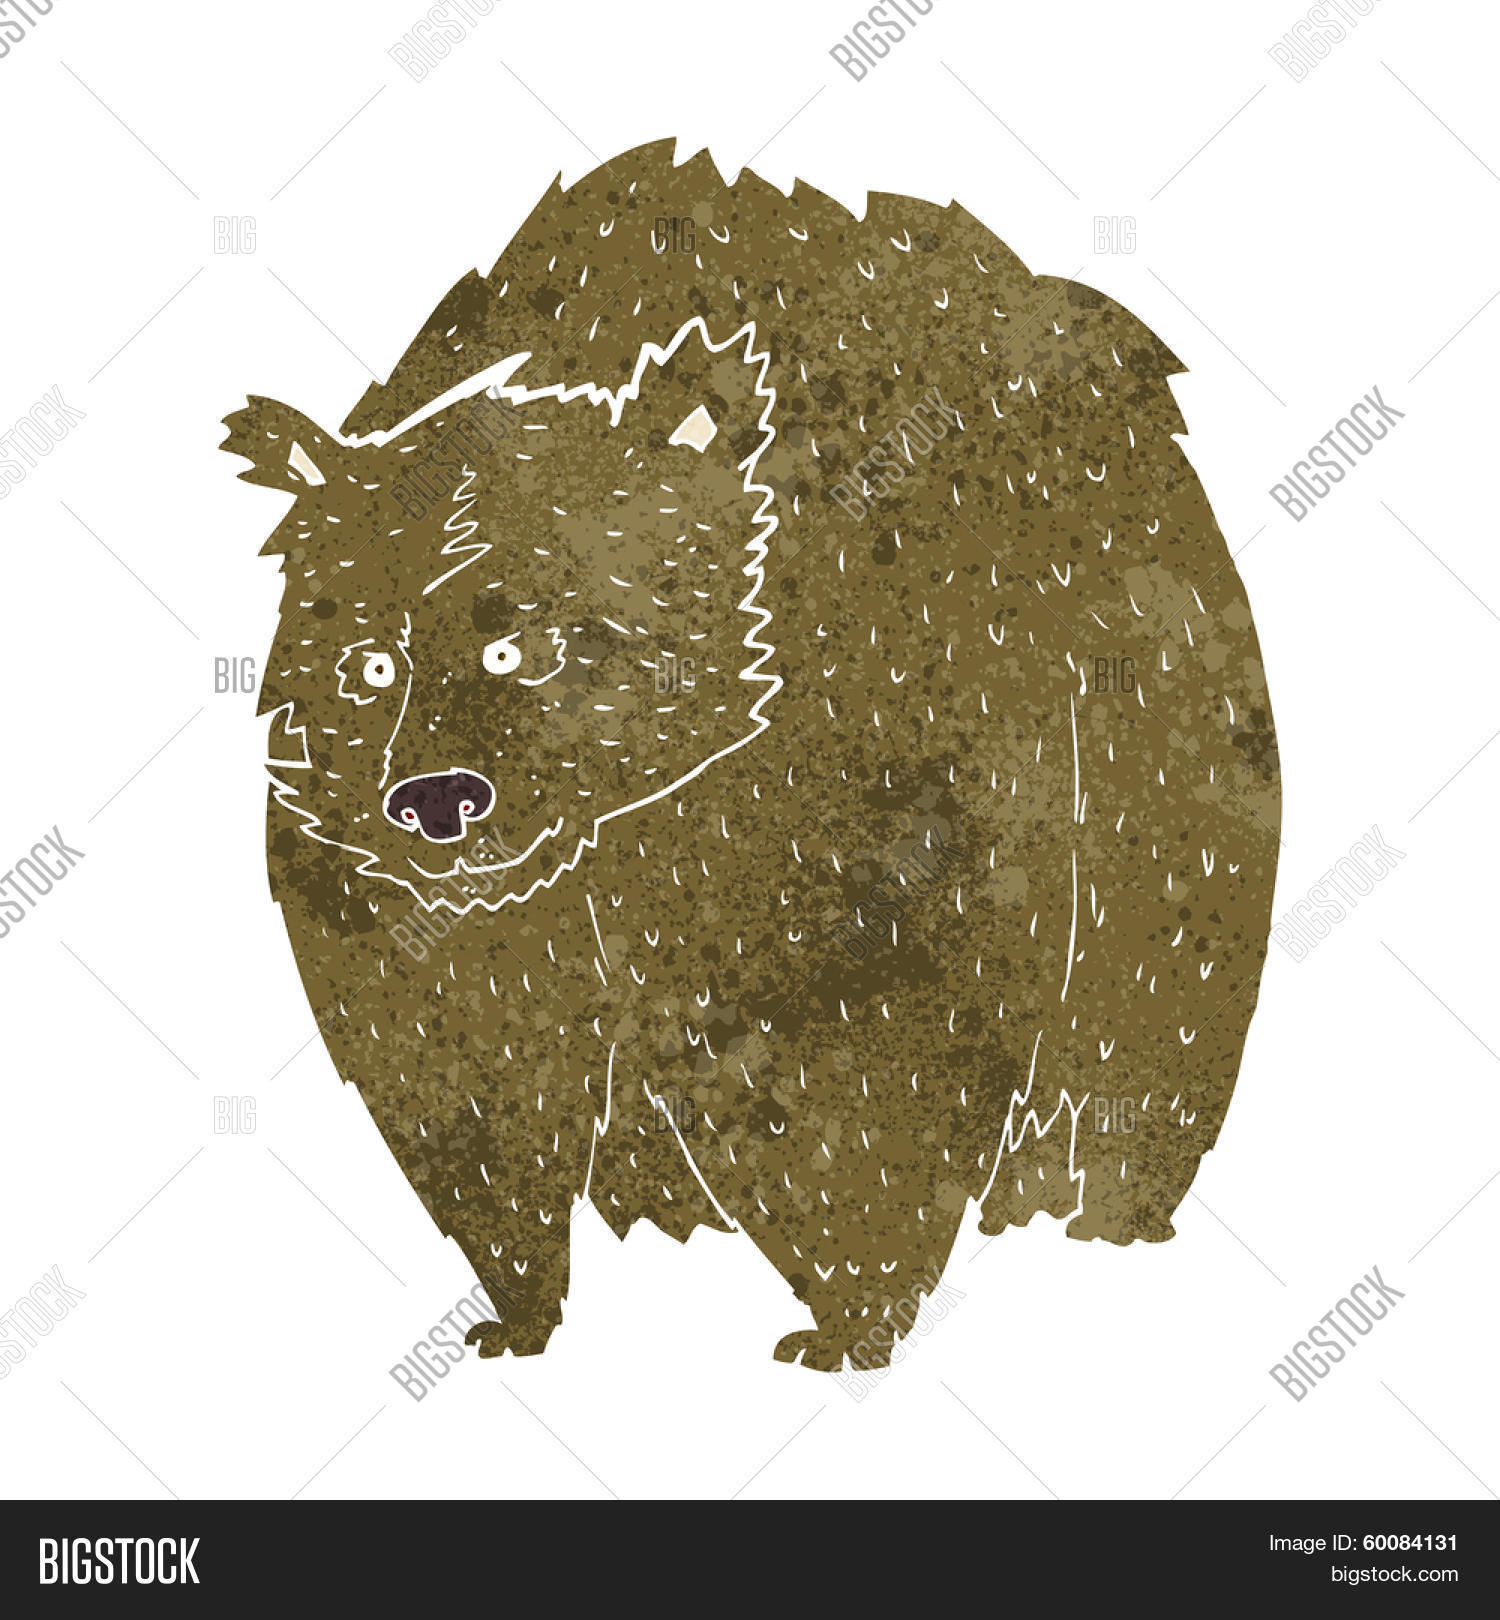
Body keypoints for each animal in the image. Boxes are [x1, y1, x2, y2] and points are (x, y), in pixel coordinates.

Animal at [223, 139, 1280, 1373]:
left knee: (1137, 1018)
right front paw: (517, 1311)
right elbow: (480, 1103)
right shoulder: (428, 934)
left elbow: (850, 1081)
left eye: (531, 638)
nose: (438, 802)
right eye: (369, 663)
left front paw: (851, 1323)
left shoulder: (848, 830)